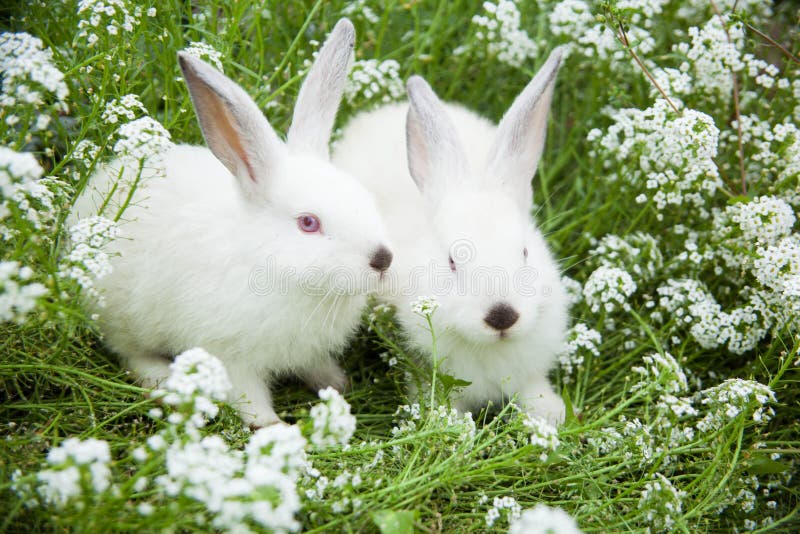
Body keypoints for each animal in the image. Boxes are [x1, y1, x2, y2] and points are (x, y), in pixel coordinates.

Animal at [71, 19, 394, 427]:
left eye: (365, 197)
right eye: (308, 223)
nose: (382, 259)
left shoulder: (308, 350)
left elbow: (314, 366)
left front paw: (336, 383)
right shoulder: (230, 355)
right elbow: (247, 395)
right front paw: (270, 425)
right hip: (123, 316)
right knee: (128, 352)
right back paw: (161, 378)